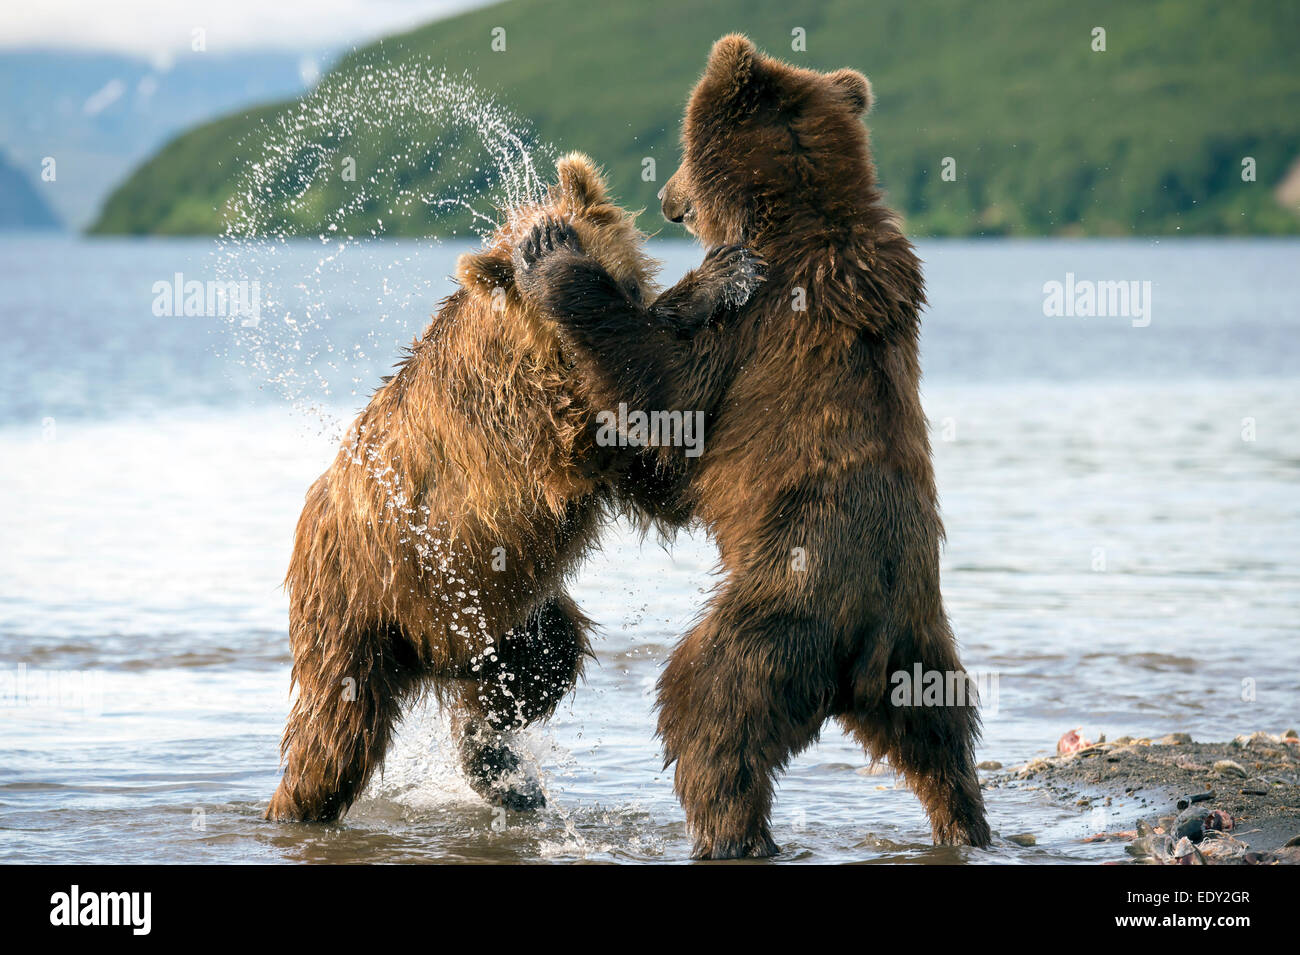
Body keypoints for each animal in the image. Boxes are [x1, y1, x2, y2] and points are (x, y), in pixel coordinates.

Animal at [266, 153, 759, 823]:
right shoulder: (522, 415)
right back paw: (299, 802)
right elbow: (616, 414)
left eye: (630, 280)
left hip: (499, 611)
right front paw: (716, 278)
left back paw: (503, 772)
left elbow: (651, 467)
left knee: (544, 661)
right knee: (336, 731)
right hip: (364, 603)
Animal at [511, 37, 991, 858]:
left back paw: (728, 827)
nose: (667, 197)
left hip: (782, 604)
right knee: (942, 740)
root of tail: (862, 649)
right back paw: (966, 820)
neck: (792, 215)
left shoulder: (759, 321)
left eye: (679, 149)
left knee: (710, 706)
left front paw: (557, 256)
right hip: (920, 652)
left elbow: (664, 398)